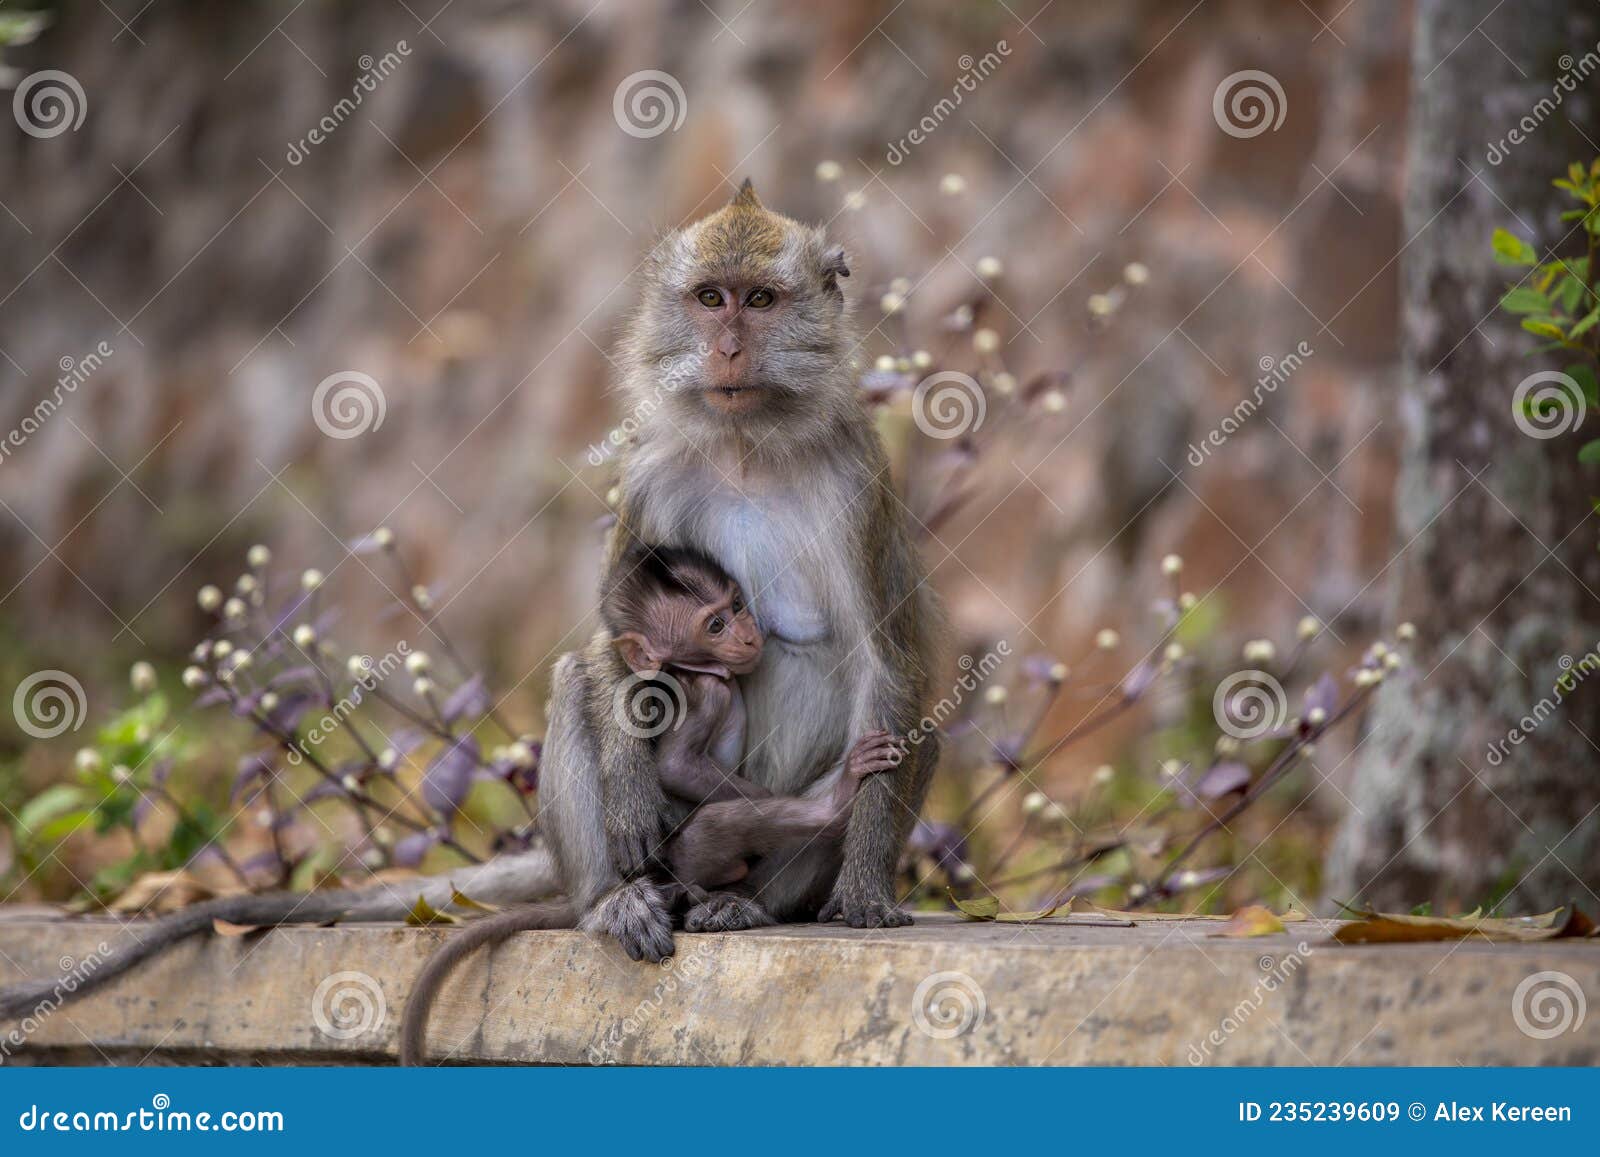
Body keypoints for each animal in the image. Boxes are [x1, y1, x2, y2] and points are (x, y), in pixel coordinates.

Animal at [398, 542, 903, 1064]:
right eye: (715, 626)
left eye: (735, 605)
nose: (748, 634)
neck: (695, 669)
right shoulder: (709, 693)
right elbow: (676, 766)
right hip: (682, 855)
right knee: (720, 823)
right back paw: (832, 804)